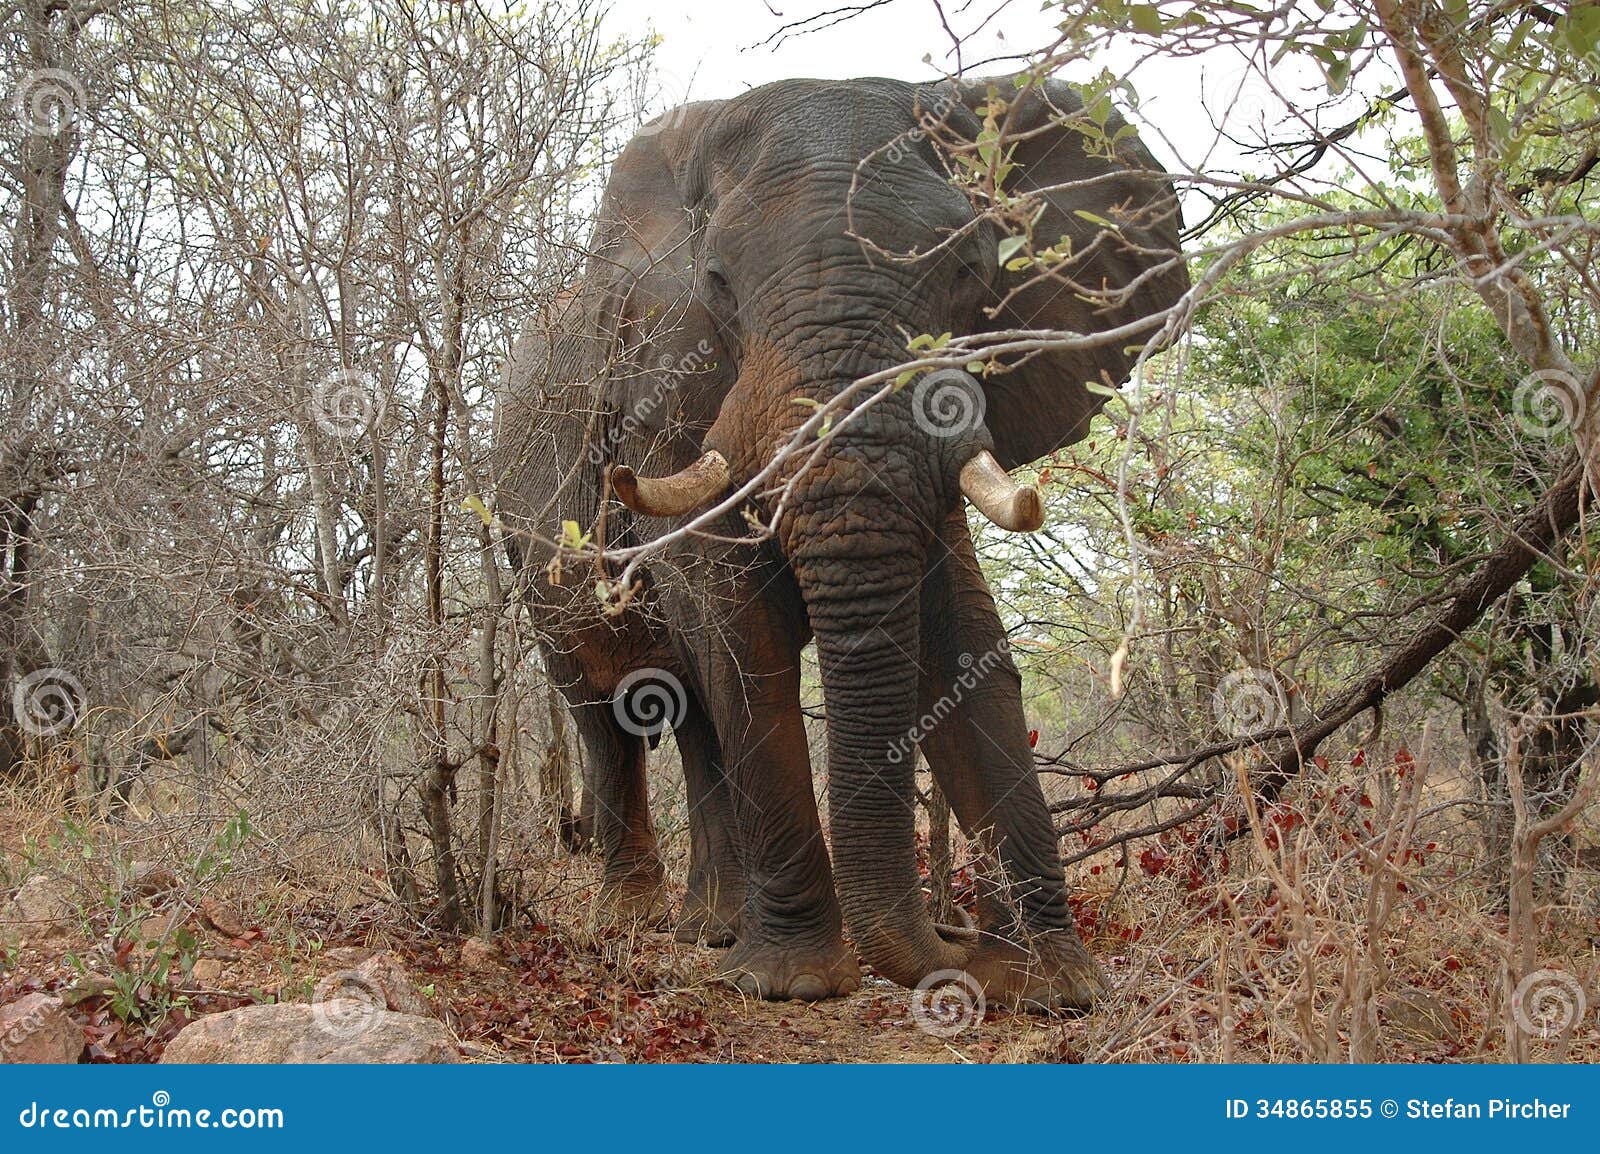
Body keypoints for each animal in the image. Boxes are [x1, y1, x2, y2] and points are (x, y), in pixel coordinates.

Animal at [492, 74, 1187, 1006]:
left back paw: (711, 930)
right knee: (604, 703)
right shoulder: (662, 392)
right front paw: (793, 983)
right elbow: (736, 629)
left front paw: (1052, 987)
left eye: (972, 270)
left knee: (691, 713)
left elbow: (963, 636)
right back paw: (634, 924)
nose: (951, 947)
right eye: (717, 283)